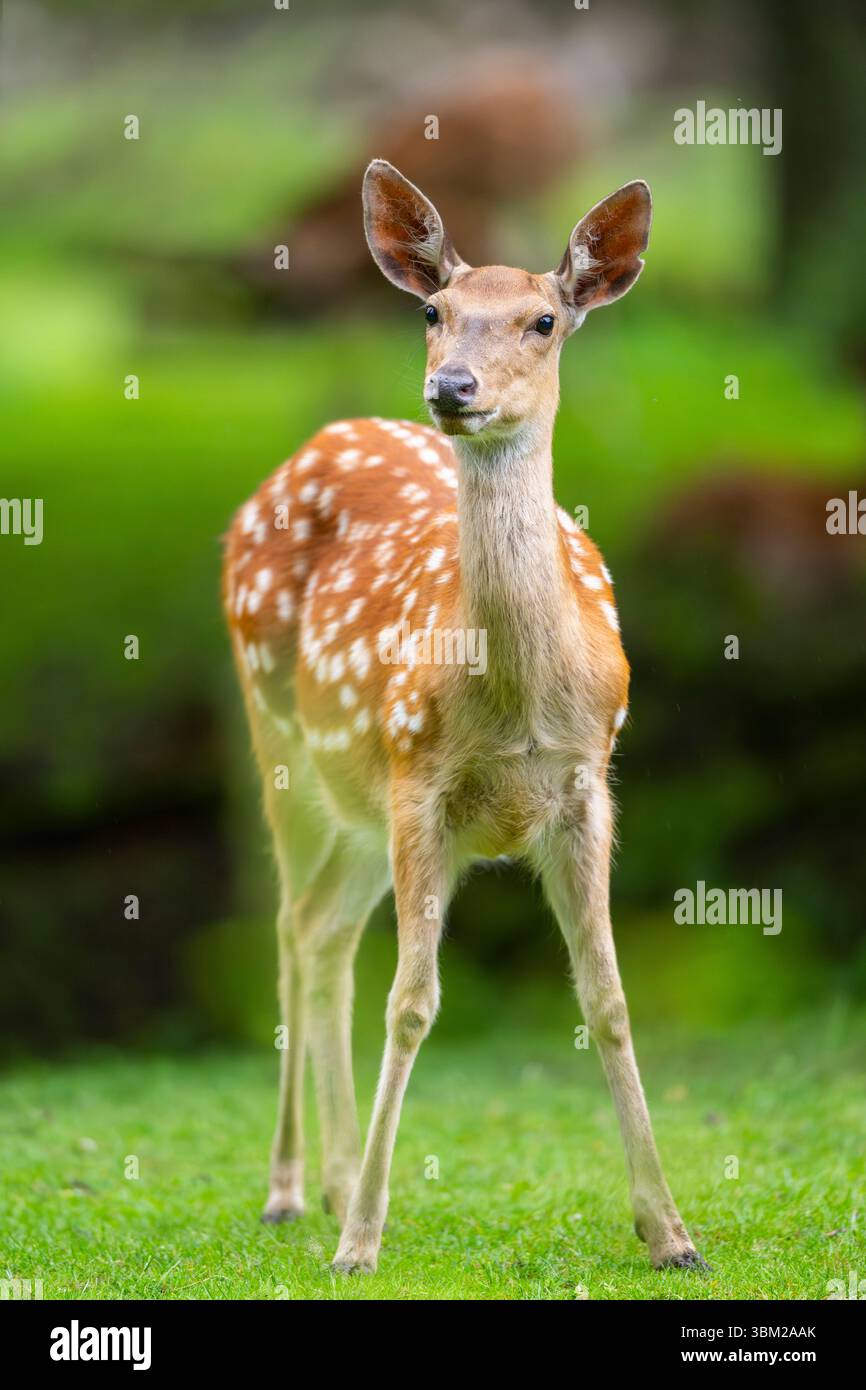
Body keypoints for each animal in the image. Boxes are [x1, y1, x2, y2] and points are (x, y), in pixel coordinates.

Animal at [223, 159, 707, 1275]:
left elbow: (607, 1000)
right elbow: (412, 1002)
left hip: (361, 804)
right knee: (289, 926)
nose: (451, 388)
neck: (517, 702)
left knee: (324, 932)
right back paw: (292, 1192)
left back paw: (333, 1181)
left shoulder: (585, 786)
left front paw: (669, 1233)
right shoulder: (421, 782)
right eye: (432, 311)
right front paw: (359, 1246)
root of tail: (308, 446)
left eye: (543, 319)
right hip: (285, 743)